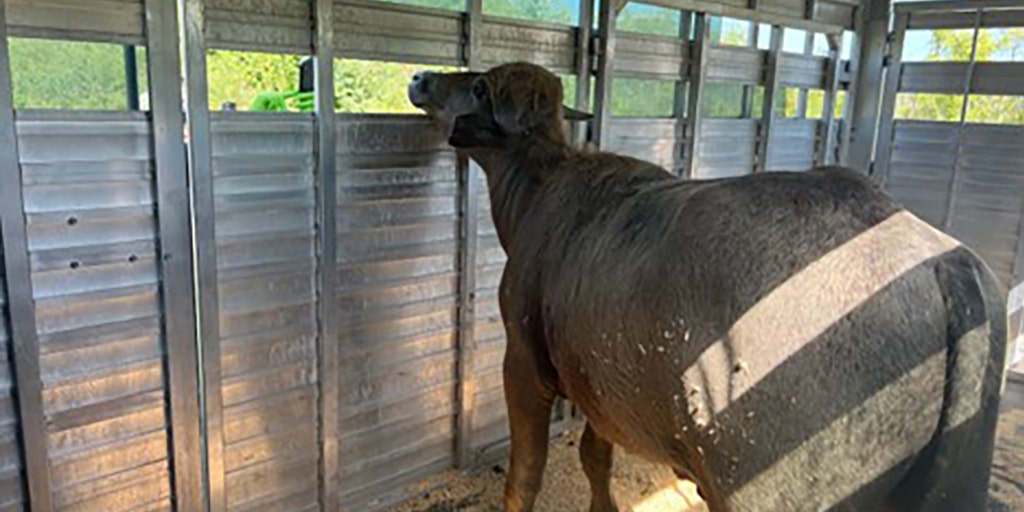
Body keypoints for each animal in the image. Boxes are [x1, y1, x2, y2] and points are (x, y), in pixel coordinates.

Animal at [407, 62, 1009, 512]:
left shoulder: (525, 364)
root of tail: (943, 265)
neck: (541, 187)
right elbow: (595, 457)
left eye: (478, 84)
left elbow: (525, 478)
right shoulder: (602, 385)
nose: (419, 77)